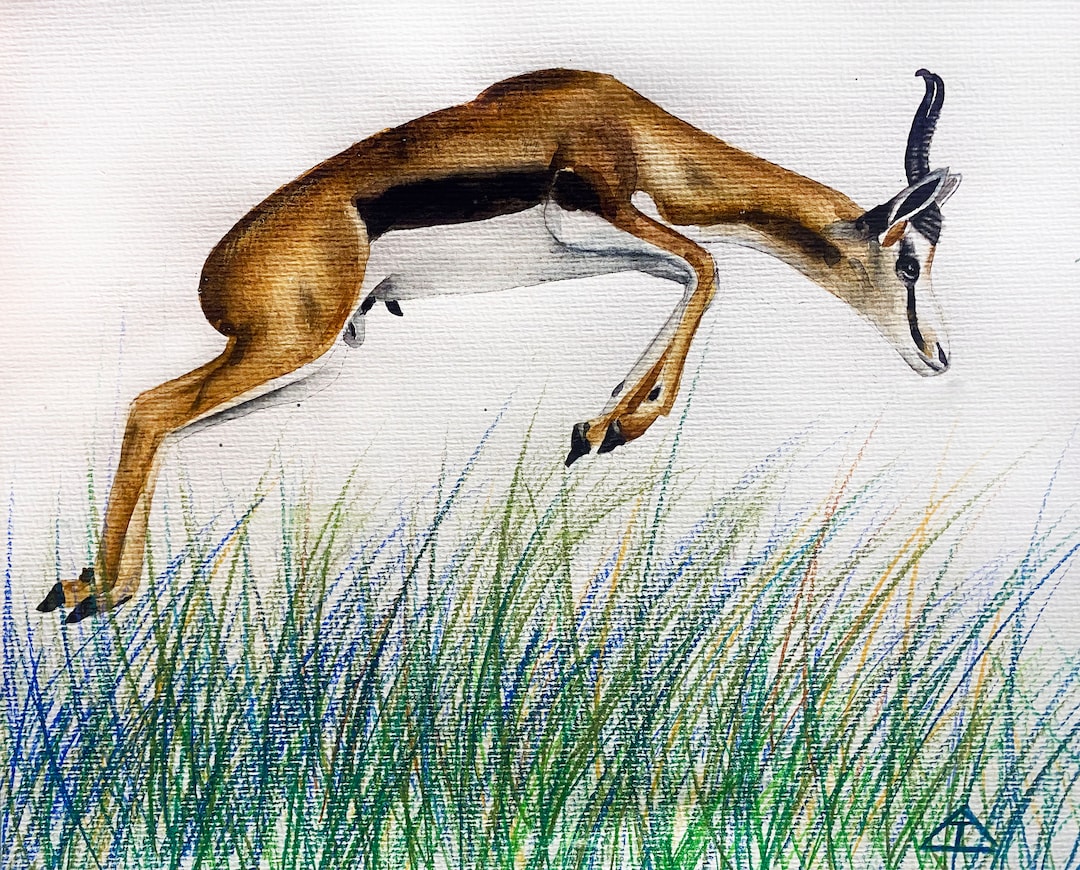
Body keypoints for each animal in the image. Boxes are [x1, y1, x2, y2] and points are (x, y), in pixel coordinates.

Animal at [38, 69, 959, 622]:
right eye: (910, 258)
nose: (940, 357)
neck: (631, 125)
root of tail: (217, 269)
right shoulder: (597, 209)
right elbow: (708, 265)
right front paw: (614, 427)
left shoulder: (606, 246)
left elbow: (692, 273)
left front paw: (601, 424)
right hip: (289, 347)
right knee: (150, 407)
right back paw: (94, 591)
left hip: (317, 362)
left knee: (165, 421)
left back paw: (95, 589)